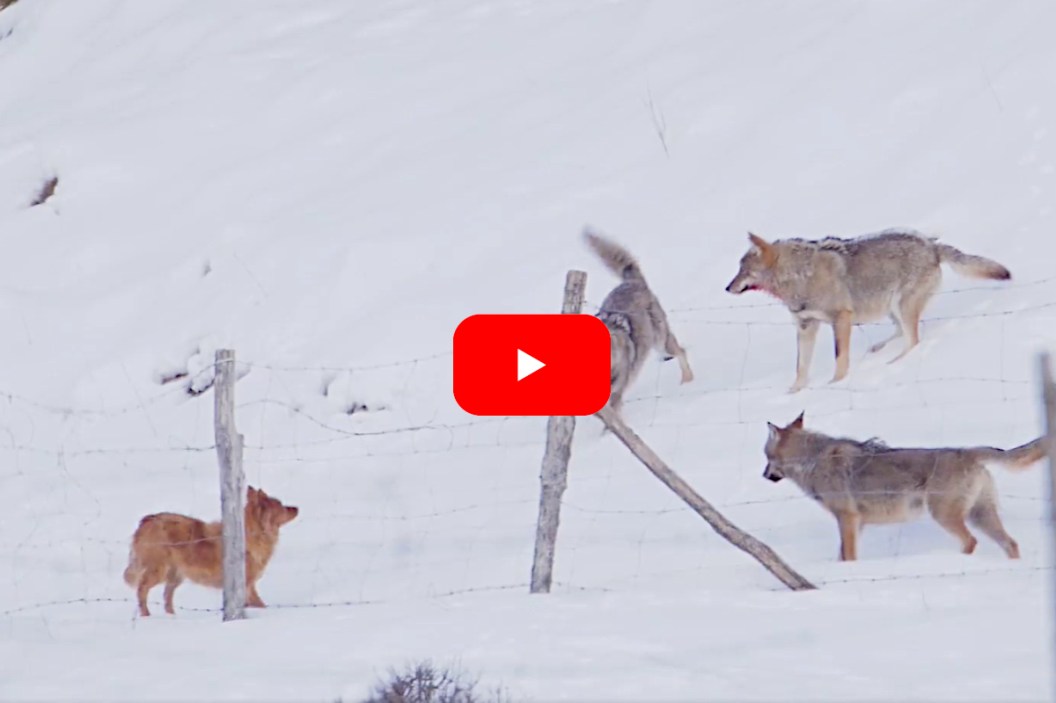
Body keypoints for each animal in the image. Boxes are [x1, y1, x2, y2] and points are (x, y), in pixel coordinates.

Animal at [123, 486, 298, 616]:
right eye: (281, 506)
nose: (297, 507)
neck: (252, 533)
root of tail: (147, 520)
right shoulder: (247, 585)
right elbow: (260, 605)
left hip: (175, 576)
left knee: (167, 597)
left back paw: (172, 617)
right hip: (159, 571)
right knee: (142, 589)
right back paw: (146, 615)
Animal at [725, 229, 1011, 392]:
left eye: (743, 271)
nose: (727, 287)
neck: (798, 277)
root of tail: (931, 245)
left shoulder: (840, 318)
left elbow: (840, 357)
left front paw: (836, 384)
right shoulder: (806, 327)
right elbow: (800, 367)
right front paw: (794, 393)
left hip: (900, 305)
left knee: (914, 340)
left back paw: (894, 362)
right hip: (889, 307)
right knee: (902, 333)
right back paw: (879, 349)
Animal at [762, 412, 1043, 561]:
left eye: (765, 456)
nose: (763, 475)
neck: (811, 460)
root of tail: (967, 451)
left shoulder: (847, 518)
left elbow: (849, 555)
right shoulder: (856, 523)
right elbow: (842, 554)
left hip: (945, 516)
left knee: (972, 541)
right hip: (979, 515)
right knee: (1010, 543)